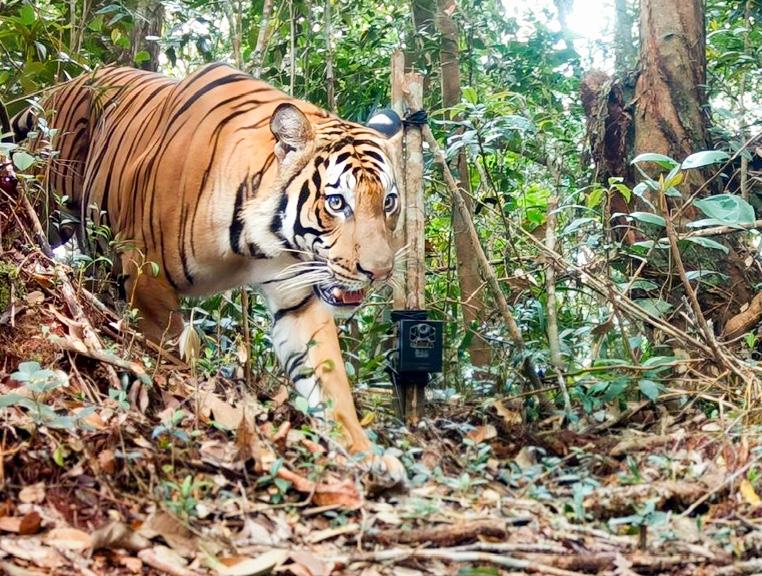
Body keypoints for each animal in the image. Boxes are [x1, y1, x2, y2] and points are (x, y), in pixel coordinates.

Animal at [6, 63, 407, 483]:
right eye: (337, 202)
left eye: (389, 202)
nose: (379, 273)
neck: (258, 243)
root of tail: (60, 87)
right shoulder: (146, 276)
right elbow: (175, 354)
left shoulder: (297, 296)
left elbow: (329, 378)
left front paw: (364, 451)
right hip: (47, 200)